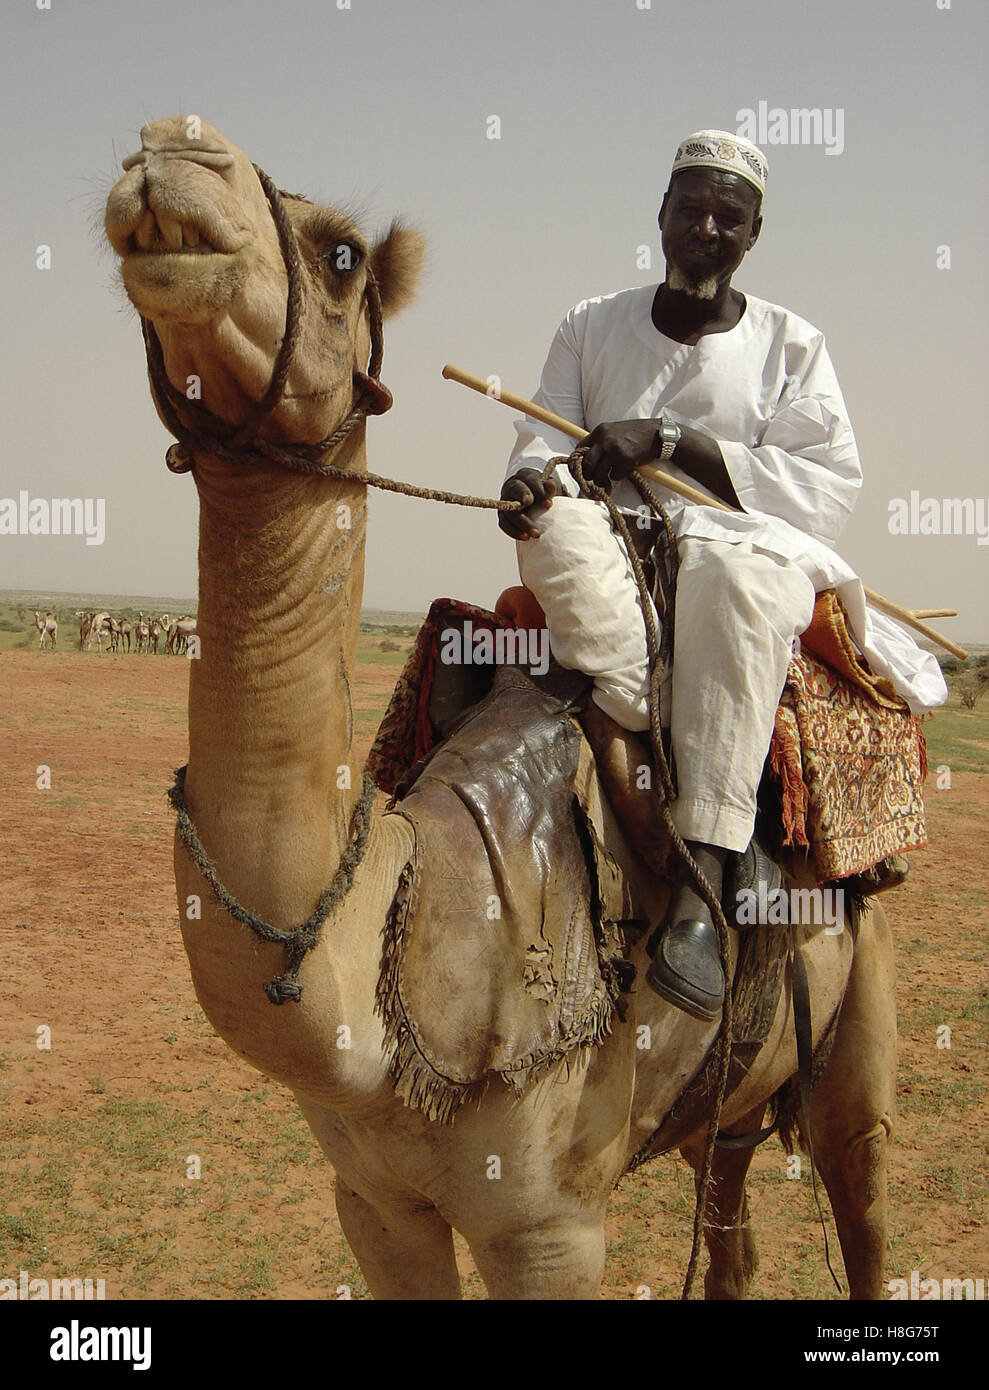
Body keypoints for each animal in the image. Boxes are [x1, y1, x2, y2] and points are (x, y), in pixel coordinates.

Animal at [105, 116, 897, 1300]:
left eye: (341, 255)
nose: (170, 147)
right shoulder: (373, 1201)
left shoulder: (550, 1225)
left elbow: (806, 463)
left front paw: (628, 444)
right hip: (731, 1096)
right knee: (730, 1220)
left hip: (860, 1013)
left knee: (862, 1197)